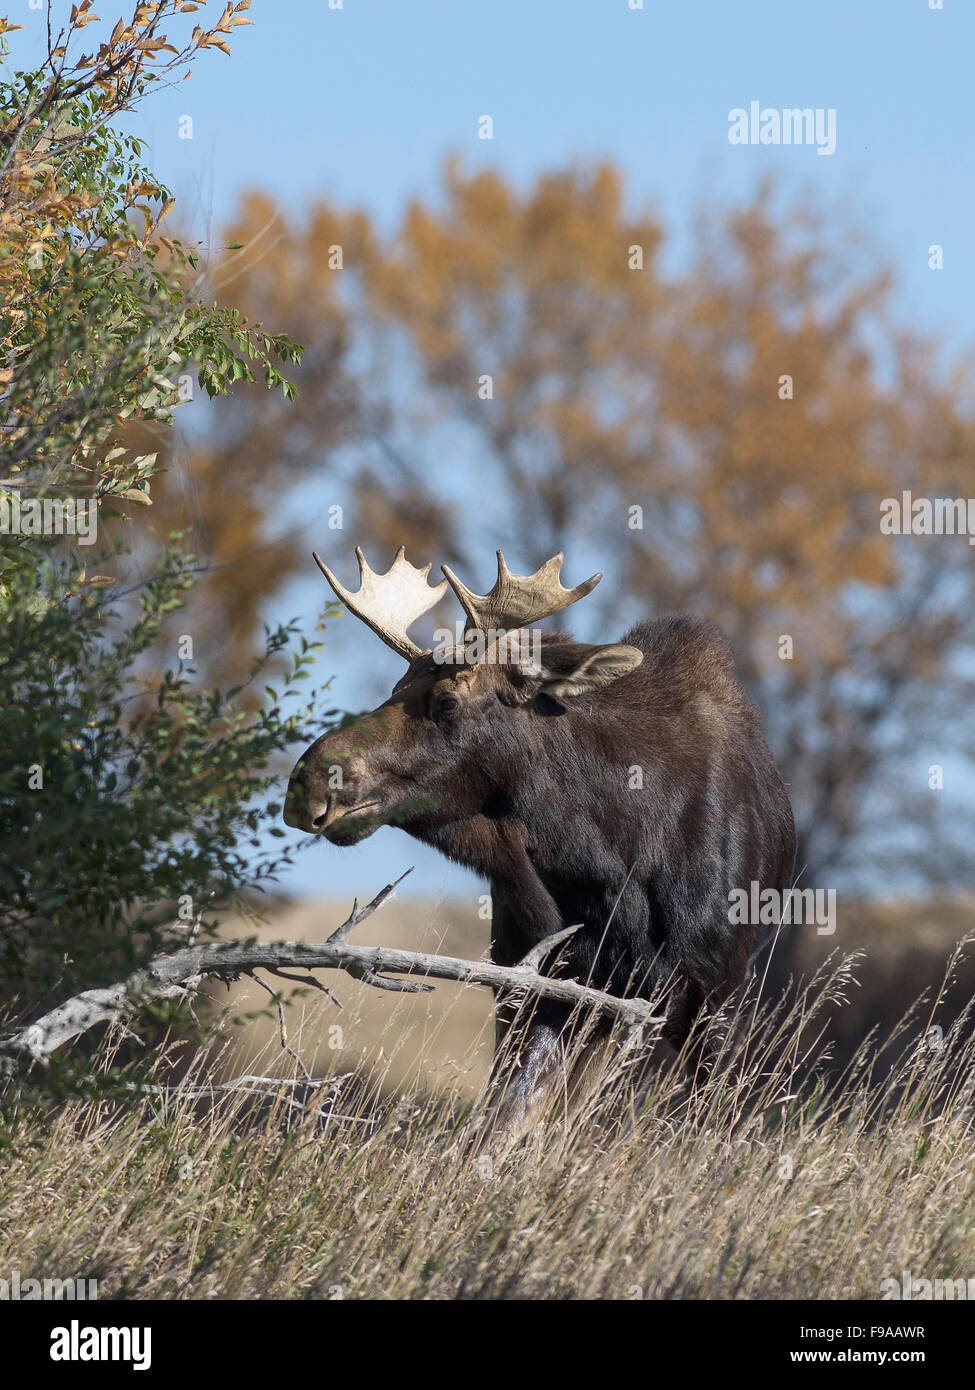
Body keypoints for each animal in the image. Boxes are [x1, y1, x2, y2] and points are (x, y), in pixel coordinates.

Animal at [284, 546, 796, 1140]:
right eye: (393, 690)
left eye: (447, 700)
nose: (309, 782)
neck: (608, 864)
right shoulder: (533, 985)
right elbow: (506, 1119)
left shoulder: (718, 998)